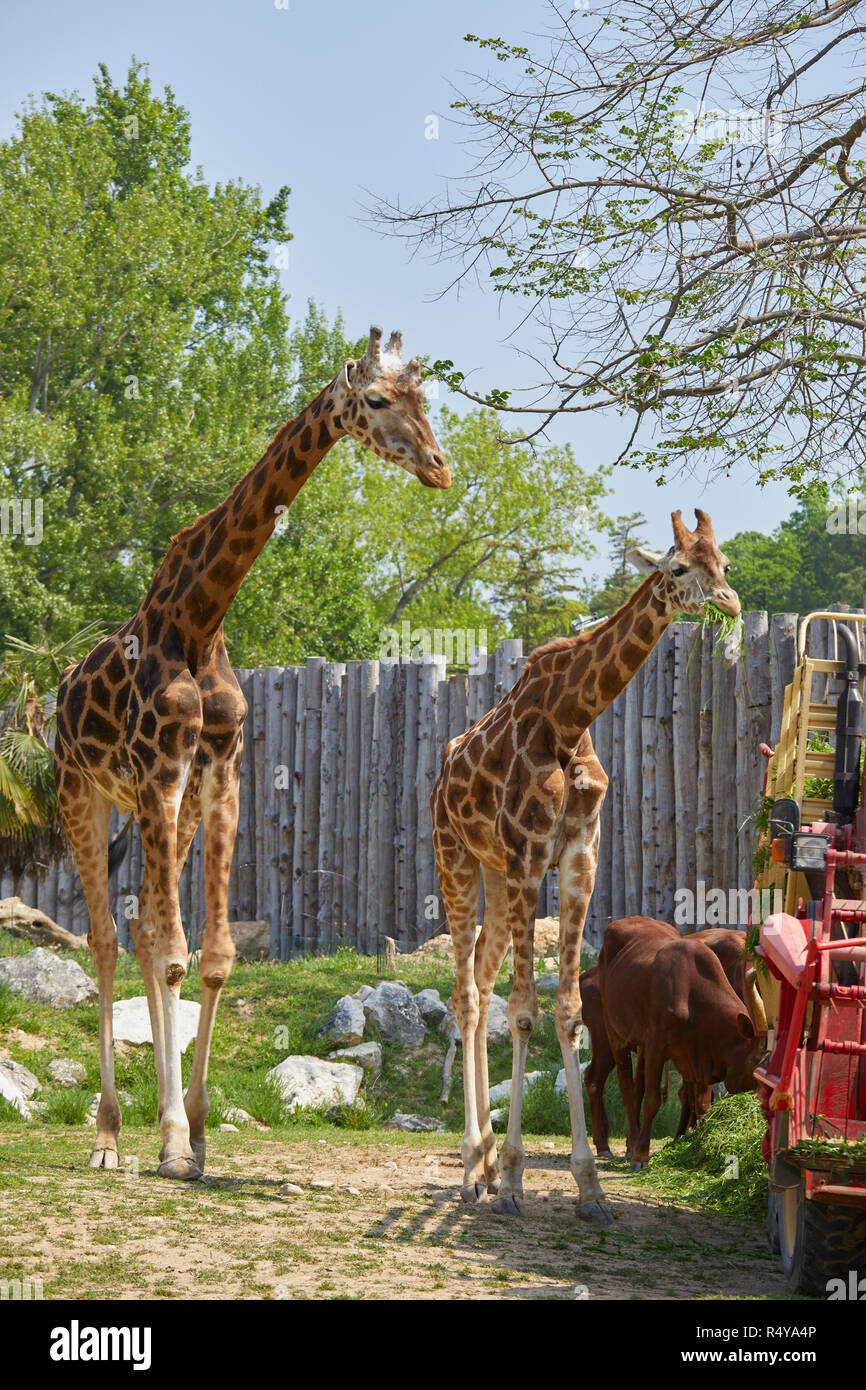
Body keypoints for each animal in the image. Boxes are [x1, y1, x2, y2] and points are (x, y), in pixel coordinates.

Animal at [54, 327, 449, 1181]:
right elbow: (173, 953)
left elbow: (212, 956)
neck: (200, 617)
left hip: (159, 811)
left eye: (424, 398)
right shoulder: (162, 773)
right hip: (82, 792)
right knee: (106, 940)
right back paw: (107, 1136)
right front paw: (172, 1141)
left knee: (139, 931)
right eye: (376, 399)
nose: (438, 467)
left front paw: (196, 1134)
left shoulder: (220, 778)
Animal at [431, 508, 740, 1221]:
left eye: (724, 564)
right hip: (457, 856)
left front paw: (589, 1187)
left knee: (480, 979)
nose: (730, 604)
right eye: (678, 566)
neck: (568, 720)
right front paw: (517, 1183)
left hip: (493, 873)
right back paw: (474, 1172)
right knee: (467, 994)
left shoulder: (579, 857)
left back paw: (483, 1164)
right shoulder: (528, 854)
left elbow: (568, 1012)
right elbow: (523, 1012)